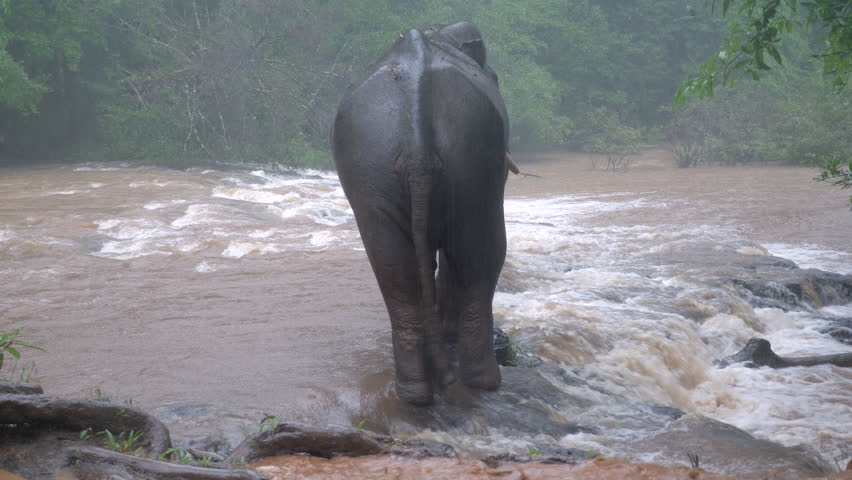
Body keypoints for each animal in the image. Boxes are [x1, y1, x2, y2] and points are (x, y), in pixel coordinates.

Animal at [332, 22, 514, 405]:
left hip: (370, 166)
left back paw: (415, 391)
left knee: (391, 263)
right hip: (472, 156)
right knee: (482, 251)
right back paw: (484, 381)